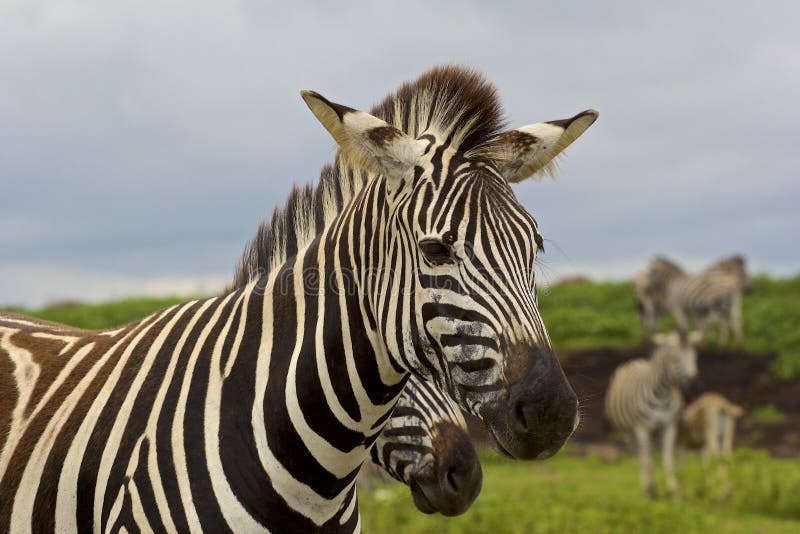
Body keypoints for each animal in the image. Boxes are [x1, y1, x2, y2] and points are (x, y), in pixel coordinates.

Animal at [604, 331, 701, 498]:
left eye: (694, 356)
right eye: (676, 359)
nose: (695, 387)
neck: (662, 395)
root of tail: (635, 361)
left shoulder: (670, 426)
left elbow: (668, 460)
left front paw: (672, 489)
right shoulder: (642, 429)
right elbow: (647, 460)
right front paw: (650, 490)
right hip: (630, 432)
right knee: (640, 456)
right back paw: (646, 485)